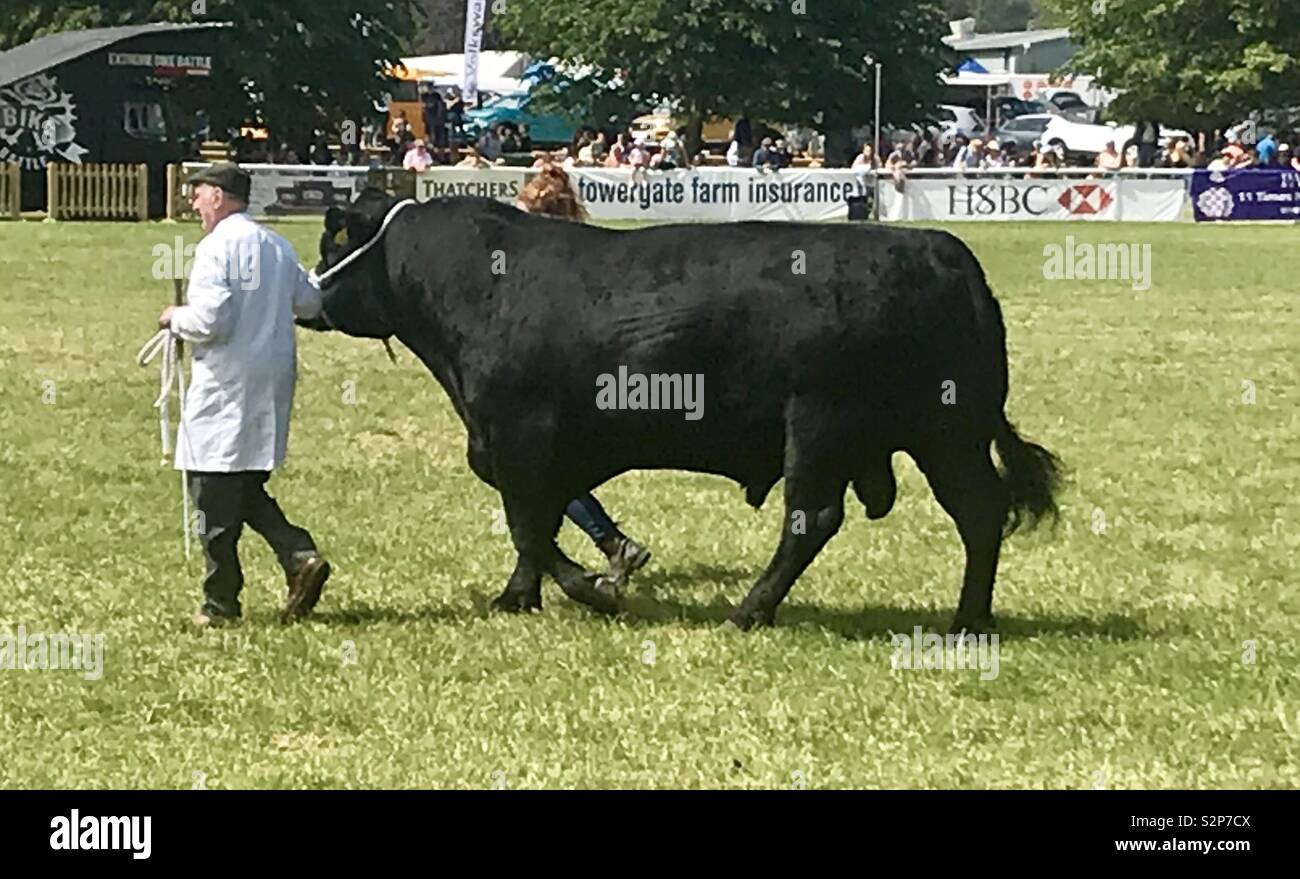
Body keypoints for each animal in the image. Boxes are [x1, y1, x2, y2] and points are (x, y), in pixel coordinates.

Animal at [301, 188, 1062, 634]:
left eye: (334, 241)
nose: (306, 299)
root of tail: (942, 250)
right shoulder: (518, 447)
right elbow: (534, 526)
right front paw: (517, 596)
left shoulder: (520, 436)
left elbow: (530, 524)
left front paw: (593, 589)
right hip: (945, 433)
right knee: (979, 511)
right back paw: (968, 619)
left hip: (823, 426)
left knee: (812, 519)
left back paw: (749, 610)